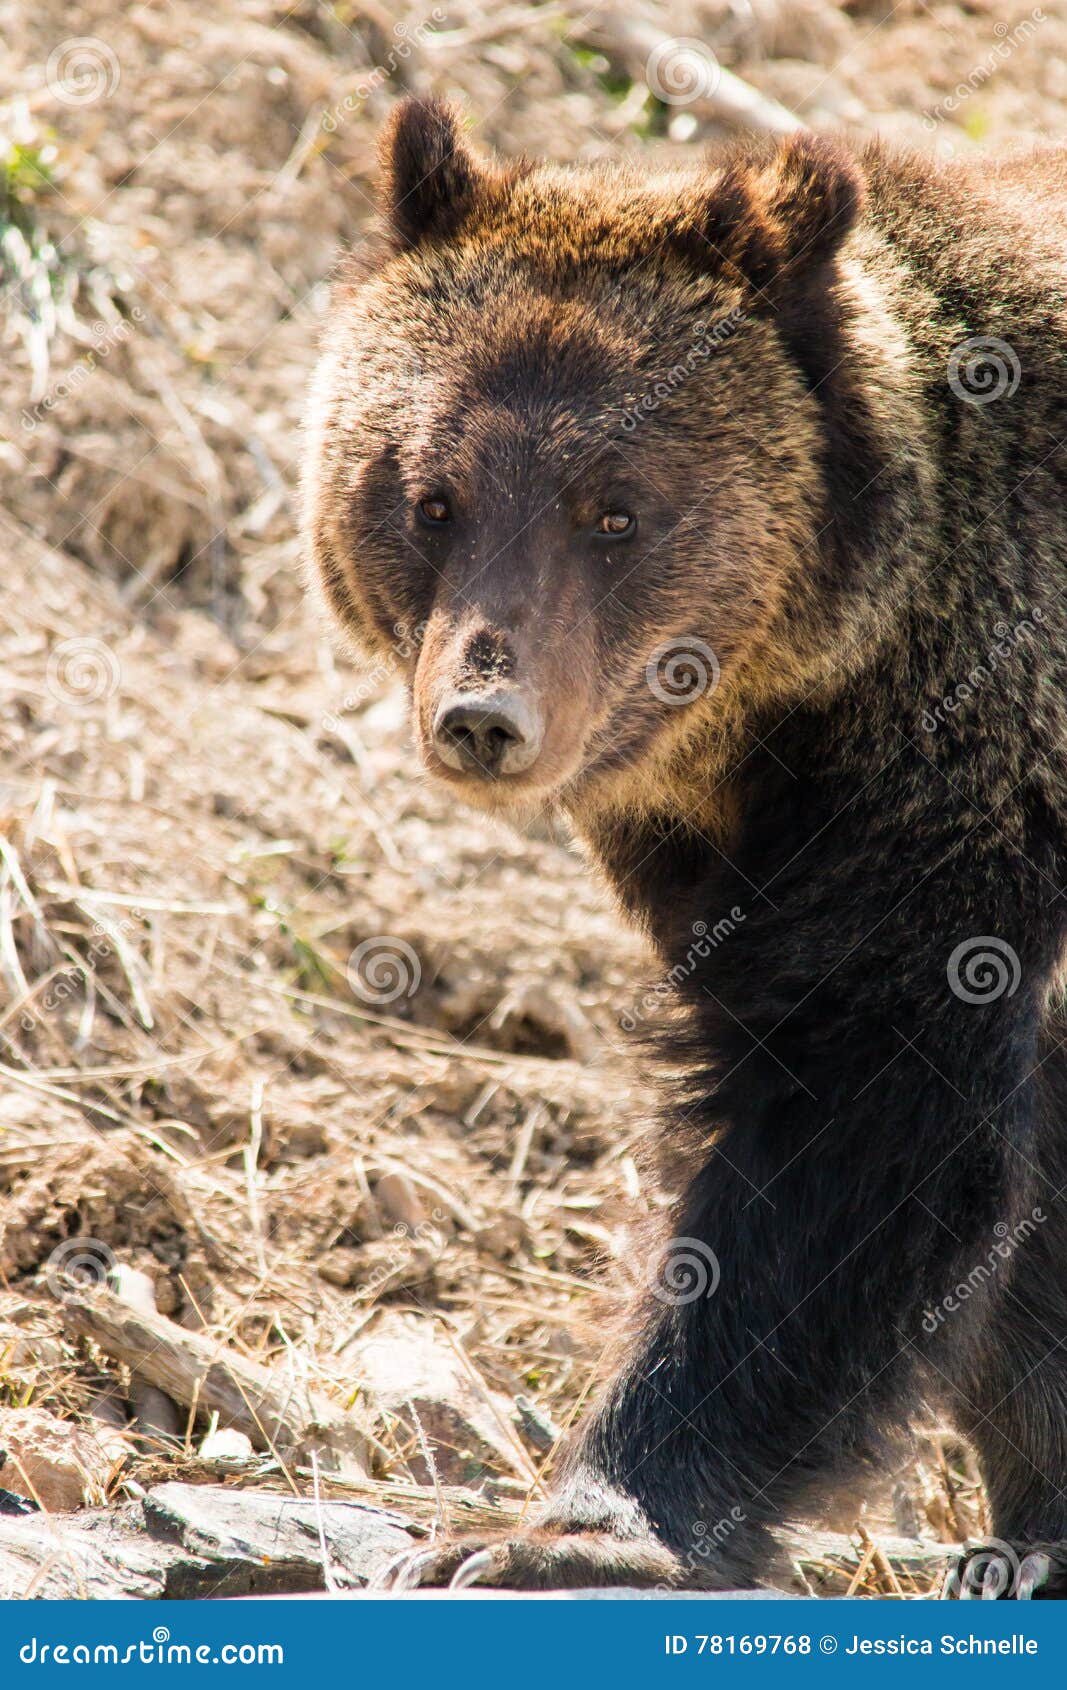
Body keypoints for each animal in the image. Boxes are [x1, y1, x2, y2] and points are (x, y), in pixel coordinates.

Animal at [303, 97, 1067, 1597]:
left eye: (616, 506)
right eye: (427, 495)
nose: (482, 715)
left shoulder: (946, 800)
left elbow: (854, 1129)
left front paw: (572, 1522)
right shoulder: (722, 858)